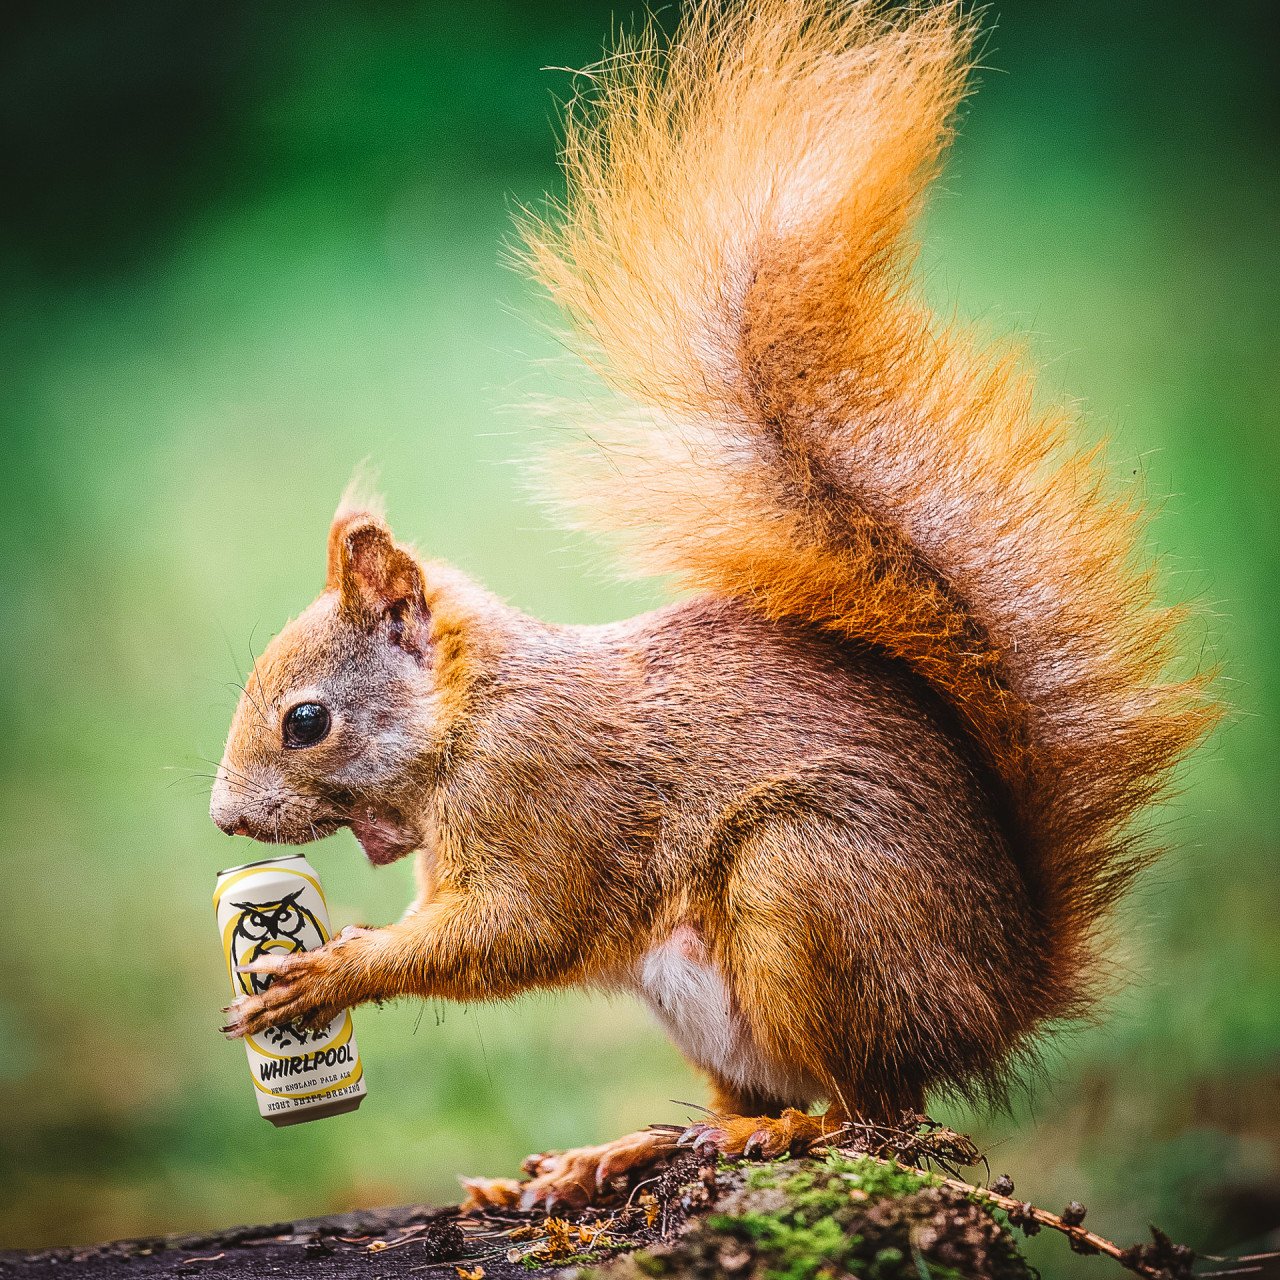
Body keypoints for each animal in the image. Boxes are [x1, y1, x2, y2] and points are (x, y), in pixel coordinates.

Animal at [212, 0, 1217, 1210]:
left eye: (306, 720)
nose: (223, 823)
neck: (470, 716)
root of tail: (1004, 992)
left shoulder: (546, 794)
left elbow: (513, 930)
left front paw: (318, 970)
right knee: (770, 1098)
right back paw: (618, 1152)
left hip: (804, 890)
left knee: (874, 1111)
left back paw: (779, 1134)